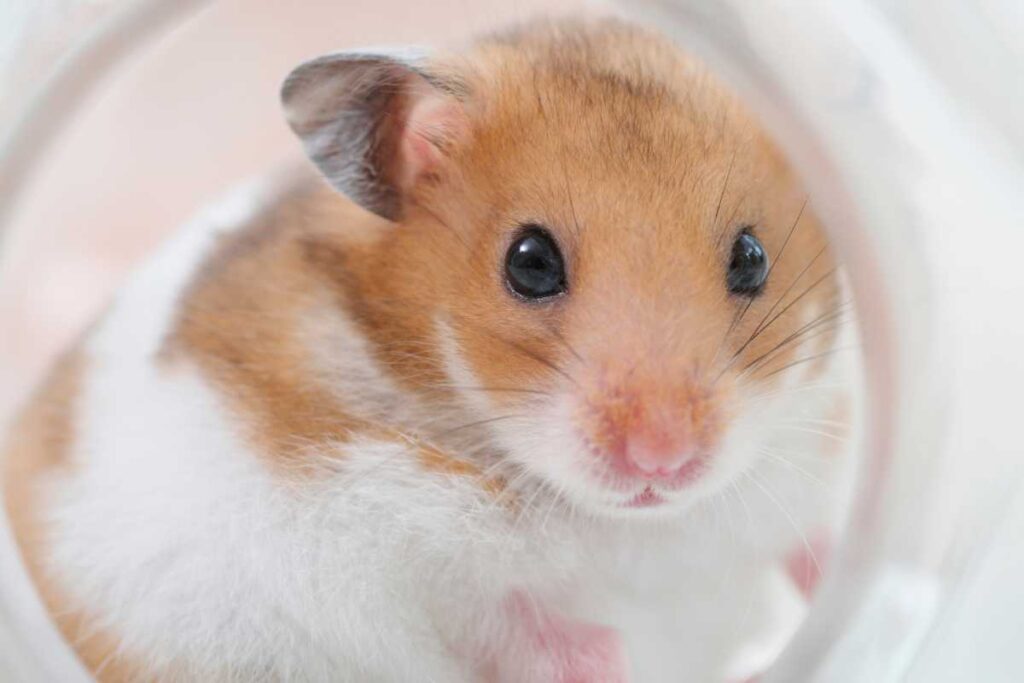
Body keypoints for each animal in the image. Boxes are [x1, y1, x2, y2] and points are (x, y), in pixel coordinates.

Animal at [2, 17, 856, 683]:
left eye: (752, 258)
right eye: (529, 262)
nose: (663, 460)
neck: (634, 525)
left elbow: (811, 543)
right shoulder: (375, 553)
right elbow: (515, 620)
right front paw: (609, 659)